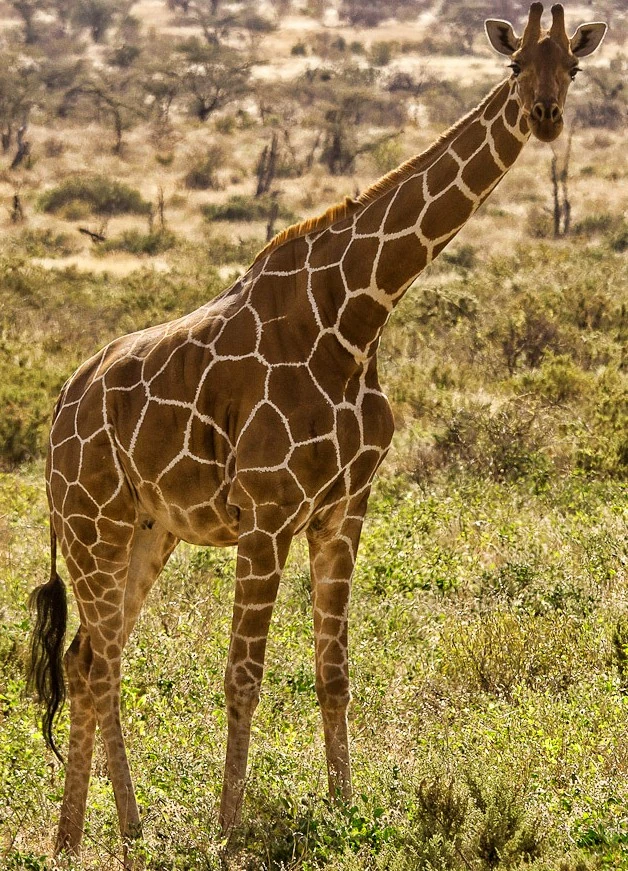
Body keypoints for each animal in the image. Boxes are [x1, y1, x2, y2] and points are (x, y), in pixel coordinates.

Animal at [28, 3, 606, 860]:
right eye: (513, 66)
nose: (544, 117)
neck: (358, 315)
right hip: (91, 523)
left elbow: (335, 673)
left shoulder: (342, 510)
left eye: (572, 66)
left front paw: (344, 812)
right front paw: (229, 830)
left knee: (91, 656)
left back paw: (119, 833)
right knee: (95, 663)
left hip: (147, 530)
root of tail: (59, 414)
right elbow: (243, 675)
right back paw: (84, 837)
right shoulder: (267, 513)